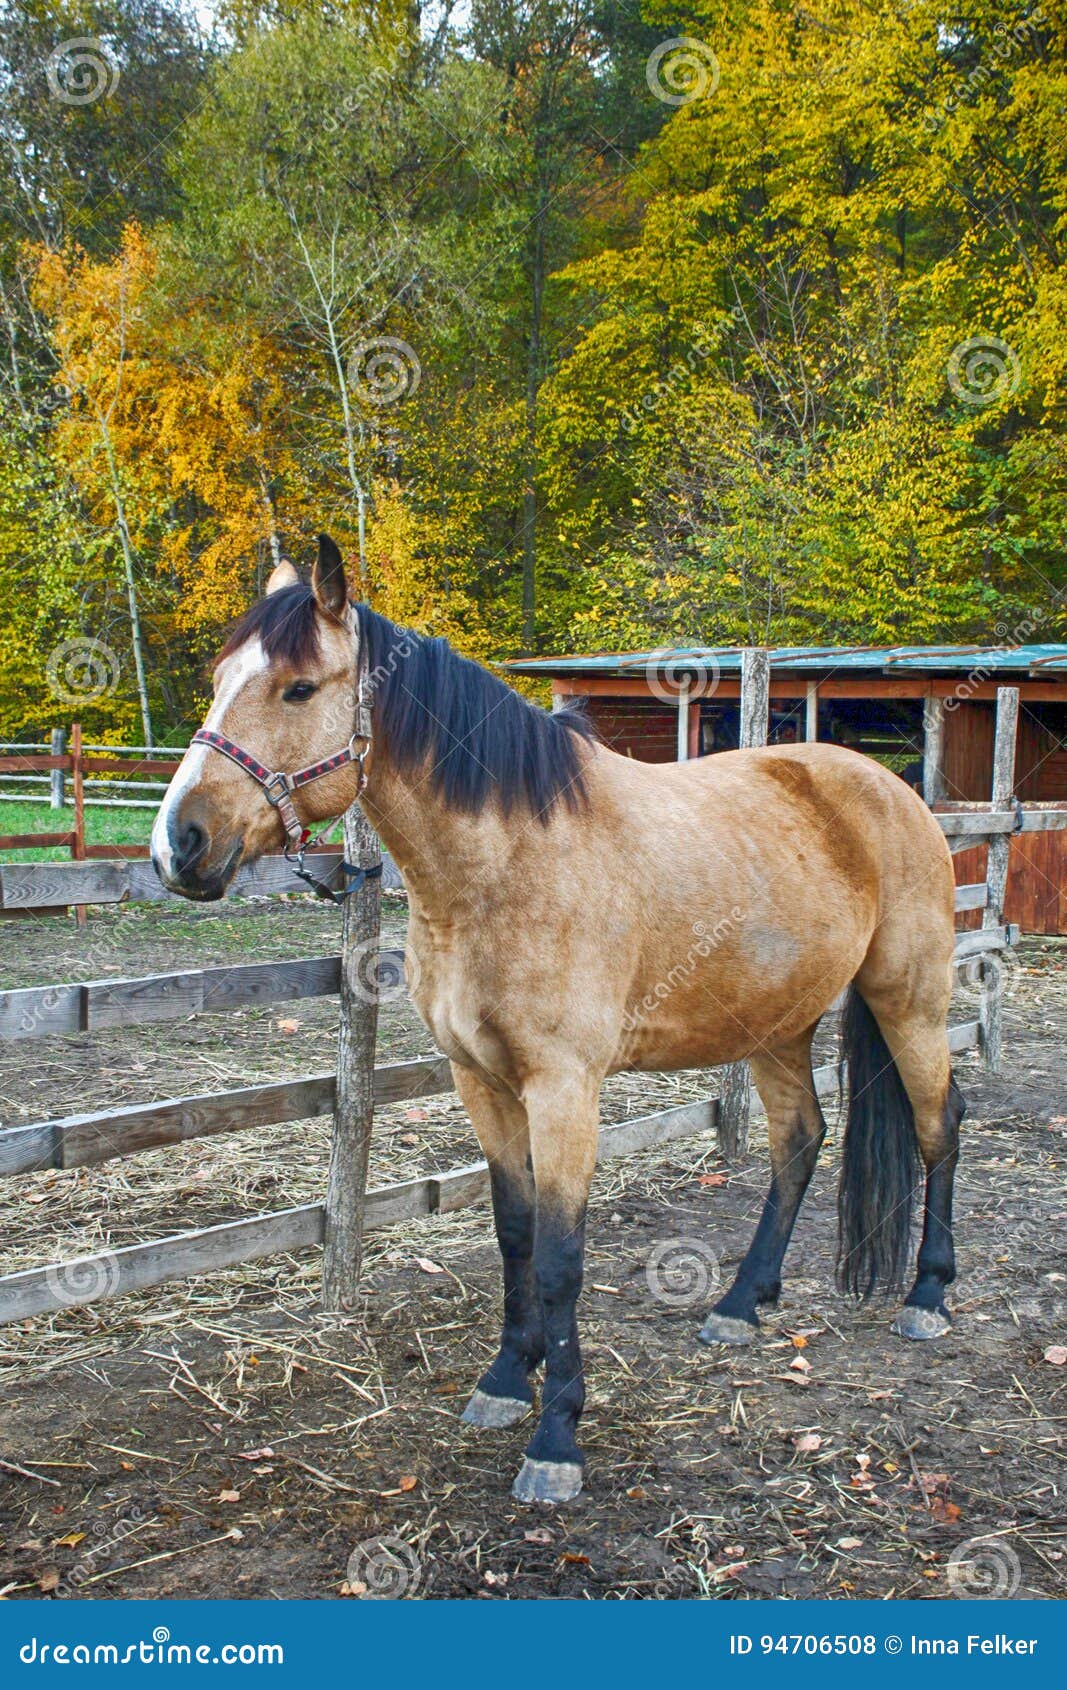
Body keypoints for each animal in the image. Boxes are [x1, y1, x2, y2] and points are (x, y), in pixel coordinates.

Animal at [152, 535, 966, 1506]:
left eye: (299, 689)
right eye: (217, 678)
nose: (179, 846)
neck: (505, 866)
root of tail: (890, 786)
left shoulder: (565, 1089)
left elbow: (559, 1256)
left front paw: (556, 1440)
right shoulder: (480, 1081)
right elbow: (513, 1235)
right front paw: (508, 1380)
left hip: (908, 1000)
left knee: (938, 1126)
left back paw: (926, 1298)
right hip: (778, 1023)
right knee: (799, 1140)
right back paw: (740, 1304)